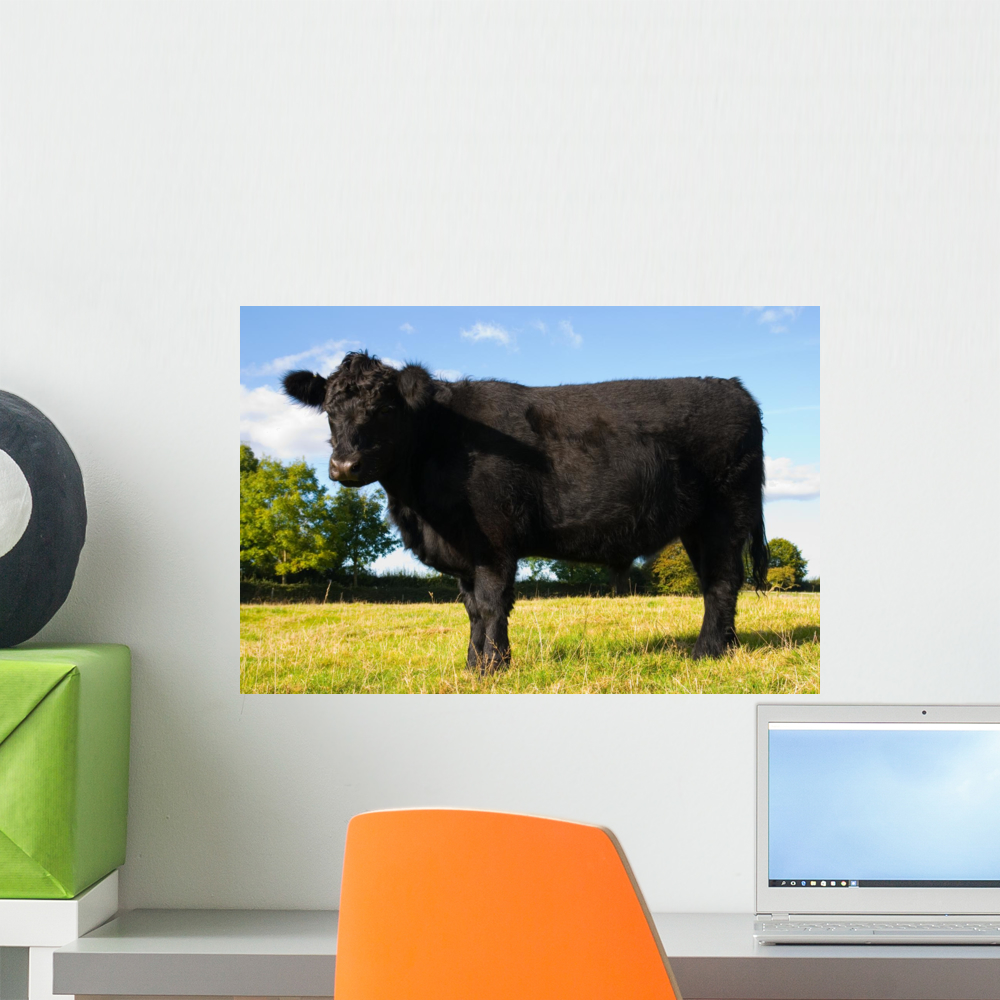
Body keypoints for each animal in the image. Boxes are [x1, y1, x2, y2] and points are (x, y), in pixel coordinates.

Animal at [284, 352, 768, 673]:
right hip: (699, 523)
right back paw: (724, 646)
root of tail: (734, 386)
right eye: (329, 410)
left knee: (722, 583)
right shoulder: (464, 549)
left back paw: (708, 652)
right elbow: (472, 609)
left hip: (725, 513)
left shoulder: (494, 543)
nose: (344, 466)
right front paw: (472, 665)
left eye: (384, 408)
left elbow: (492, 604)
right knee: (716, 582)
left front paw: (493, 667)